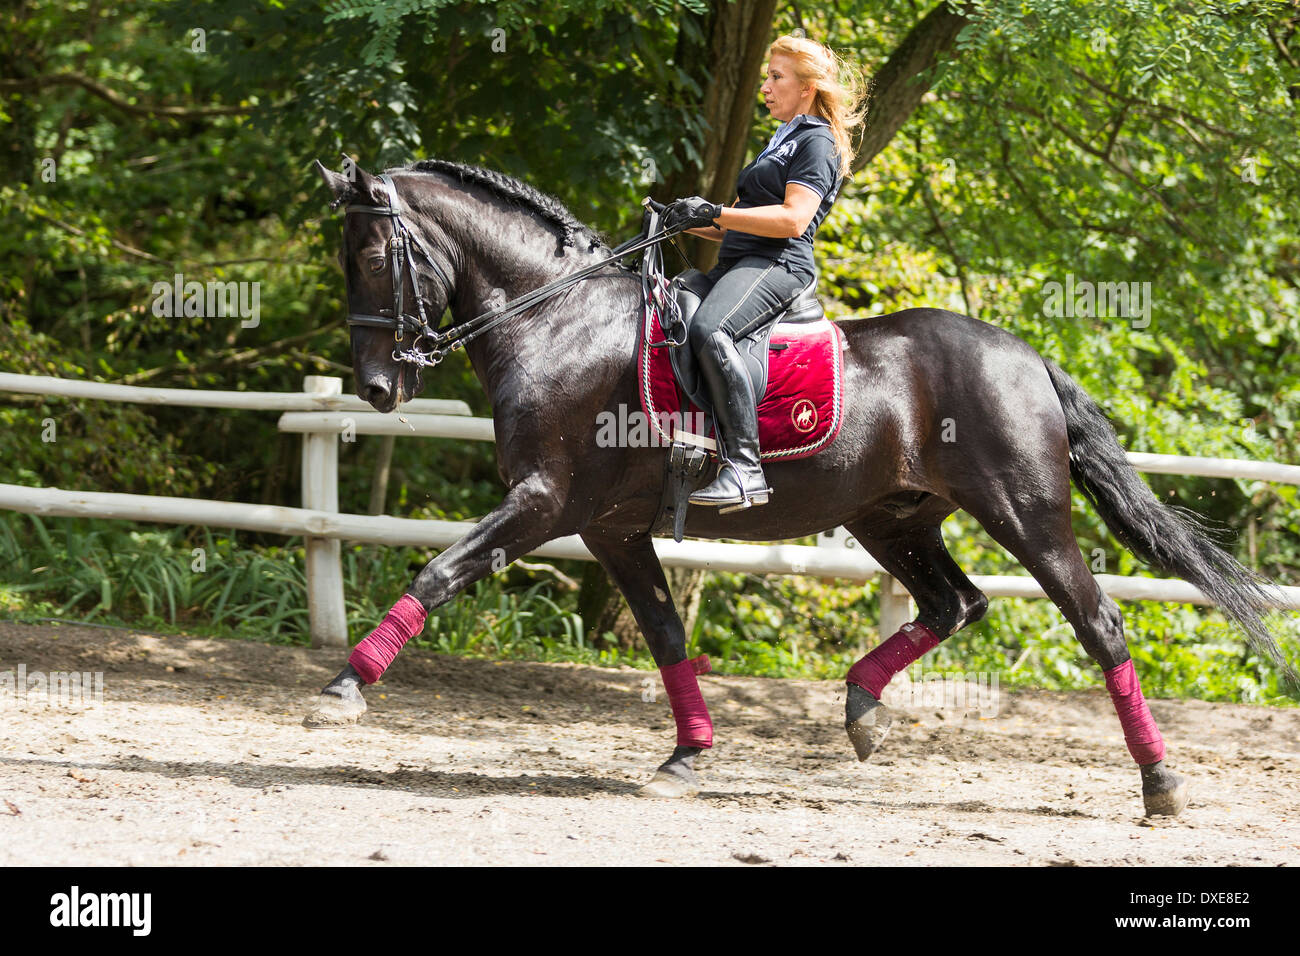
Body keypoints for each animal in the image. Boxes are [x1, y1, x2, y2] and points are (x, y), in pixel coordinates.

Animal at [304, 158, 1291, 817]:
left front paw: (344, 689)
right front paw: (686, 758)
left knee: (1098, 623)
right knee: (955, 604)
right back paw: (861, 709)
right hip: (893, 519)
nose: (378, 389)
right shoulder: (612, 529)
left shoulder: (546, 502)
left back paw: (1160, 783)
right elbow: (666, 637)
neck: (558, 318)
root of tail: (1026, 356)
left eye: (373, 257)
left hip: (1025, 512)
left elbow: (439, 571)